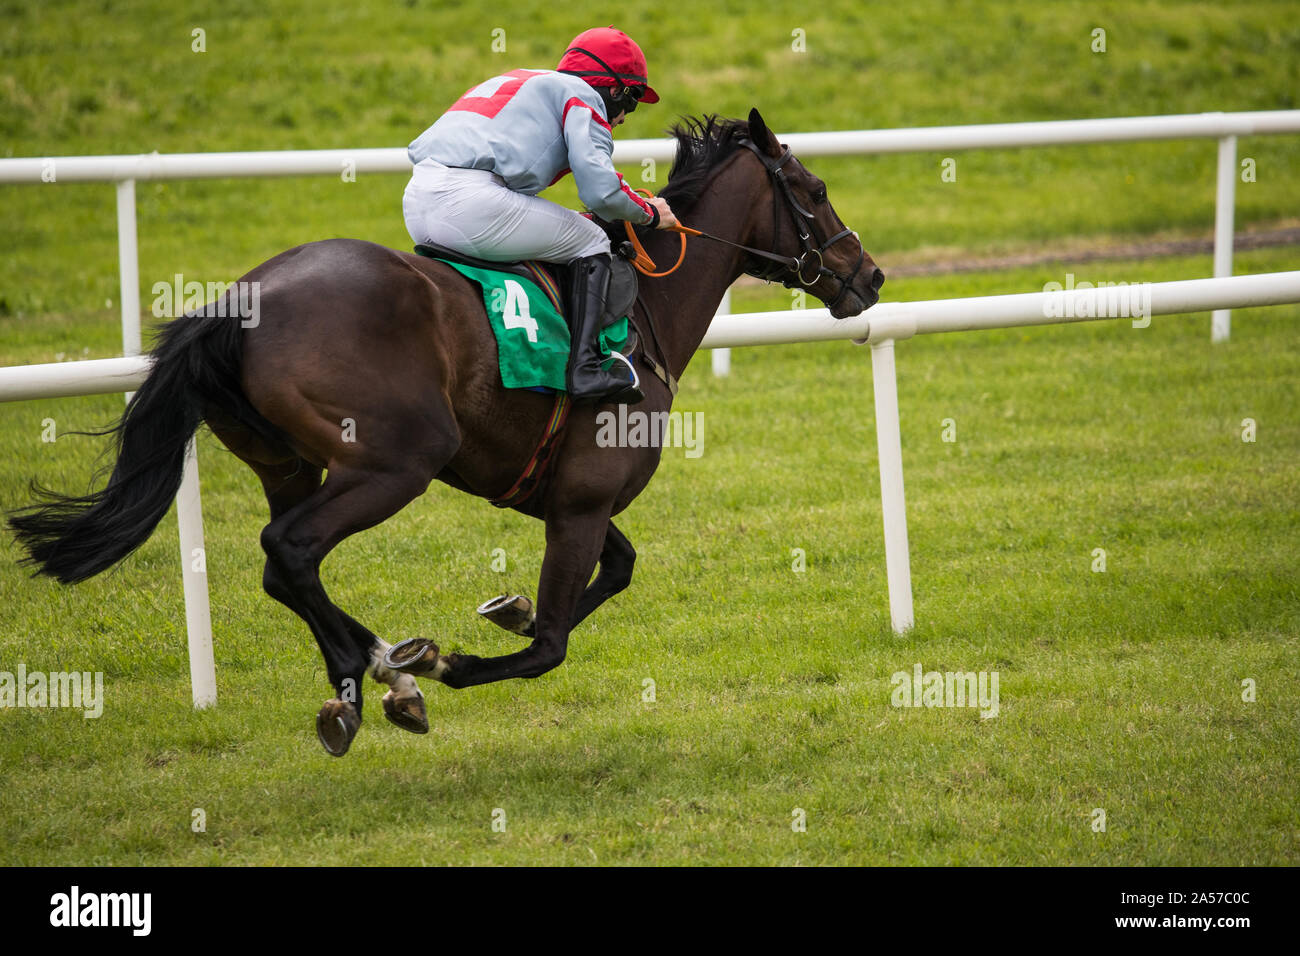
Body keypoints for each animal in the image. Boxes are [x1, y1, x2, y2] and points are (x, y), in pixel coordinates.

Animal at [8, 108, 884, 756]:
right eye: (815, 187)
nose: (869, 275)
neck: (645, 313)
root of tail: (234, 305)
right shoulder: (582, 497)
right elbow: (551, 645)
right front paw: (457, 657)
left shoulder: (551, 488)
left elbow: (620, 567)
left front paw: (499, 613)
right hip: (396, 463)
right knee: (291, 548)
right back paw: (377, 674)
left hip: (291, 466)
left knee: (282, 564)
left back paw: (379, 671)